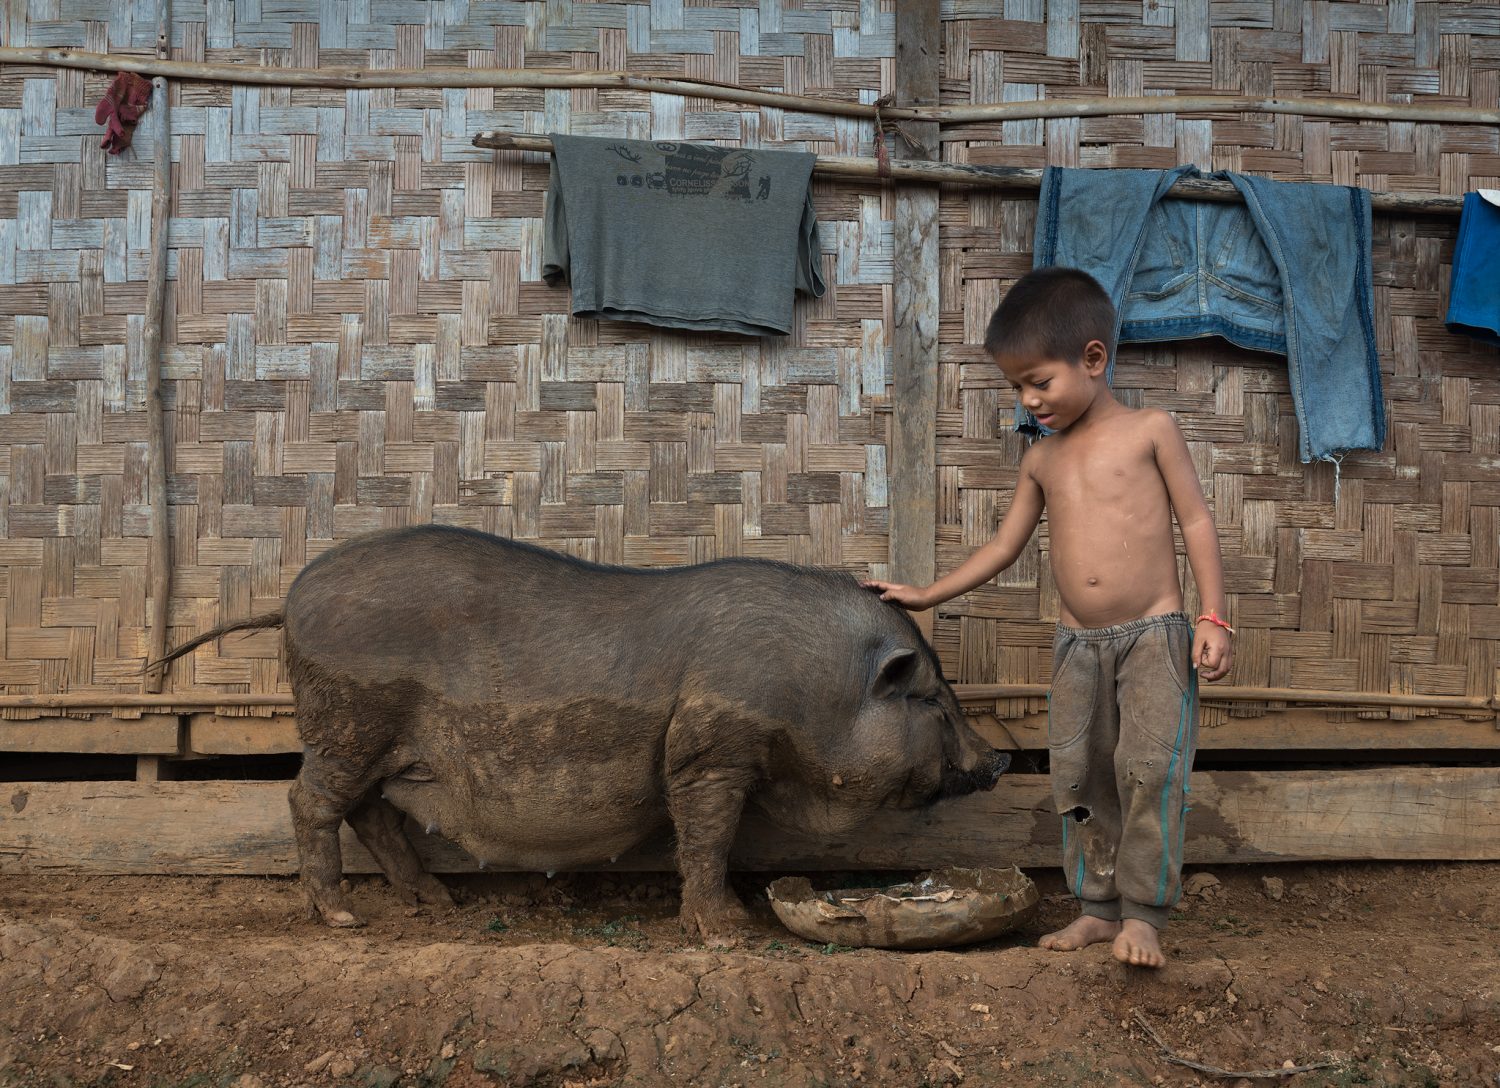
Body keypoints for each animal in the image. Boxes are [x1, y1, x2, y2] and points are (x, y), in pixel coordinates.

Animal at [158, 525, 1010, 939]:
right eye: (932, 699)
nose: (999, 758)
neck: (818, 690)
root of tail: (290, 597)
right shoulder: (712, 746)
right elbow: (707, 835)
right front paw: (729, 934)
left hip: (374, 741)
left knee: (369, 813)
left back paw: (437, 904)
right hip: (349, 721)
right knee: (309, 803)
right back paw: (340, 917)